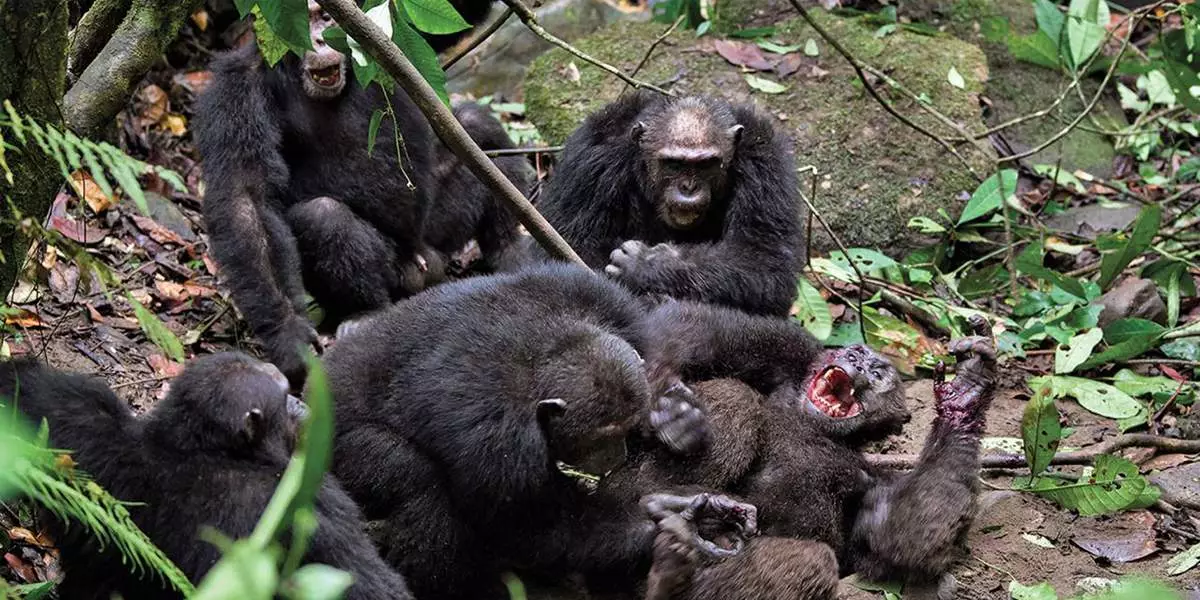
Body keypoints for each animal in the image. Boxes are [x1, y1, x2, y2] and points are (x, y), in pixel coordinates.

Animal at [0, 352, 415, 597]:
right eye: (283, 395)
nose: (299, 402)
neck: (201, 450)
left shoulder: (88, 419)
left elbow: (27, 388)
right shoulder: (313, 503)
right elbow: (357, 577)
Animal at [195, 2, 530, 386]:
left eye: (324, 17)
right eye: (302, 20)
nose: (319, 38)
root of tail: (421, 263)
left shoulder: (385, 37)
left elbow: (462, 15)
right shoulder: (235, 93)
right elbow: (247, 196)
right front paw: (289, 336)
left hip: (437, 230)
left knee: (478, 130)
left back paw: (509, 250)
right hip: (394, 269)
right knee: (322, 217)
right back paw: (364, 313)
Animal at [314, 265, 753, 600]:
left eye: (626, 429)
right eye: (599, 438)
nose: (618, 454)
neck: (546, 346)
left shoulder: (592, 293)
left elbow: (652, 340)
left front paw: (675, 416)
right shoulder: (494, 448)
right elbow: (531, 530)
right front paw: (673, 523)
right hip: (334, 447)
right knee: (418, 484)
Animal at [535, 91, 806, 316]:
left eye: (706, 164)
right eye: (673, 164)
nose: (688, 187)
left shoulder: (765, 161)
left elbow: (763, 257)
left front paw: (647, 264)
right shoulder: (590, 160)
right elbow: (567, 249)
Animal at [609, 307, 993, 597]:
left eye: (878, 372)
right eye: (854, 353)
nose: (860, 360)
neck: (816, 425)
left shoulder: (872, 481)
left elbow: (907, 532)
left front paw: (968, 391)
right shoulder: (788, 348)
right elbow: (697, 327)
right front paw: (668, 402)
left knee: (813, 562)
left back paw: (670, 564)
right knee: (737, 395)